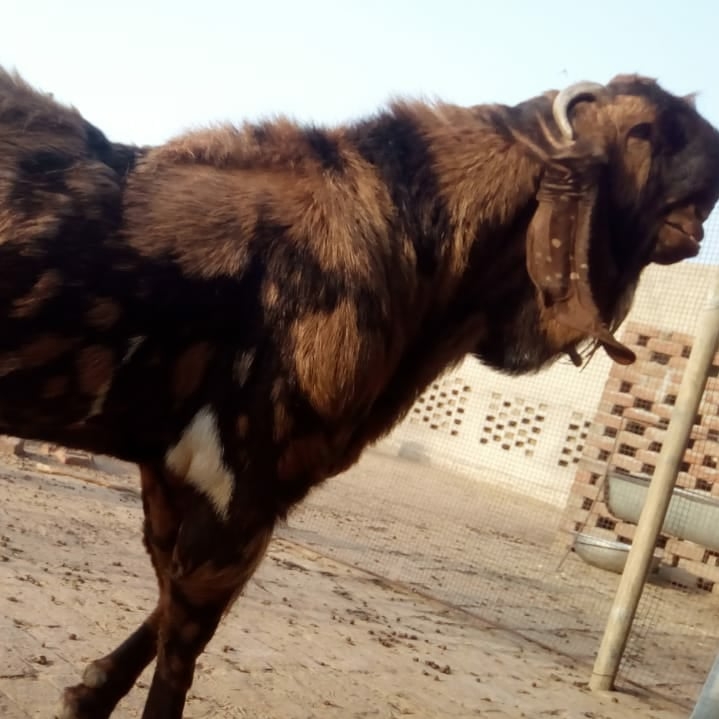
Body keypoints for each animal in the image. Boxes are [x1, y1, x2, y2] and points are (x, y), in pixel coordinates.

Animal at [0, 68, 718, 719]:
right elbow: (183, 648)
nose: (711, 171)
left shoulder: (182, 473)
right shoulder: (242, 487)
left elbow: (167, 596)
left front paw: (87, 693)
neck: (412, 241)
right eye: (648, 132)